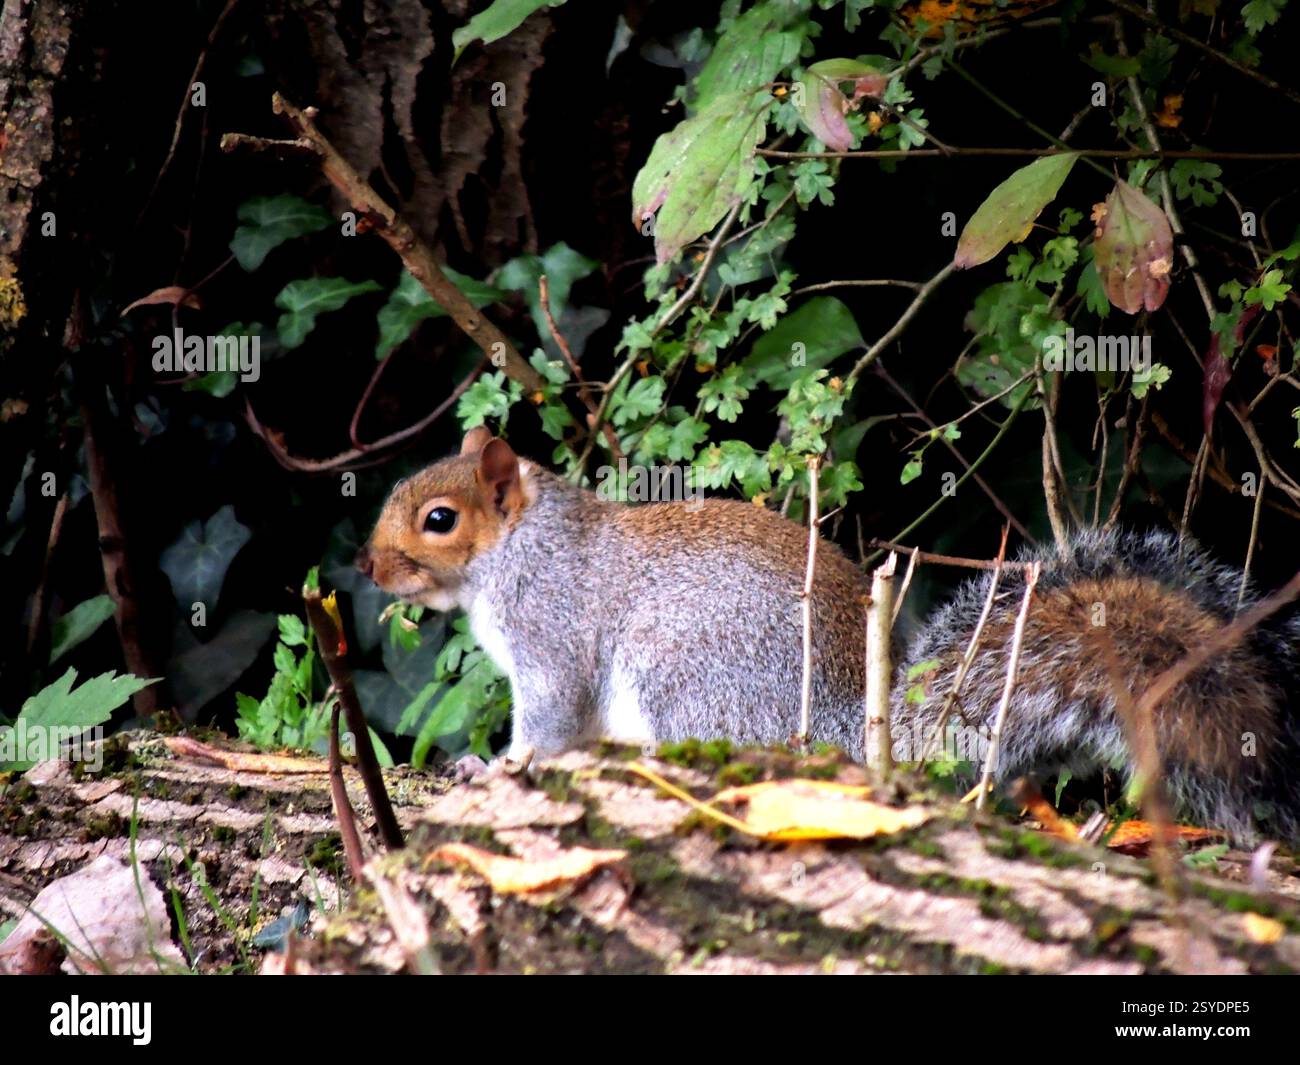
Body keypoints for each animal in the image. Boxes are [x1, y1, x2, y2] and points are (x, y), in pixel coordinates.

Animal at [358, 431, 1300, 844]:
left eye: (439, 519)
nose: (367, 565)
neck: (520, 547)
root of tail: (857, 722)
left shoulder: (551, 628)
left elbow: (550, 717)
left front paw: (498, 765)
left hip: (686, 676)